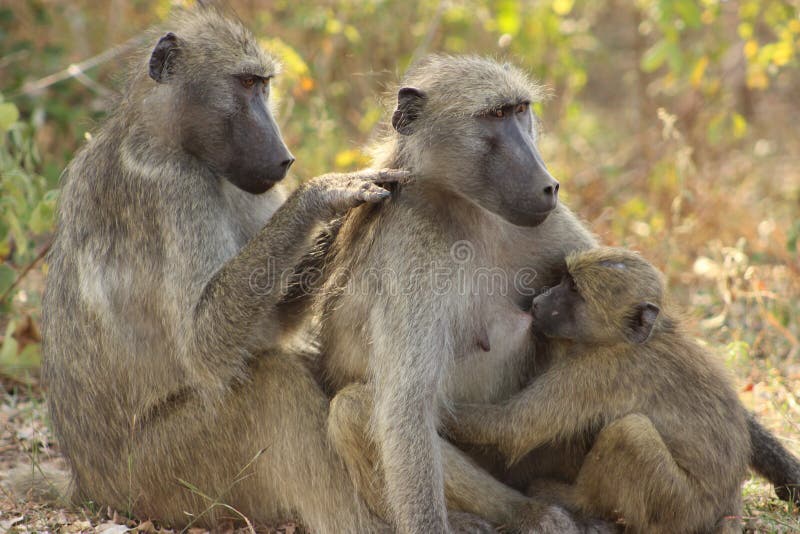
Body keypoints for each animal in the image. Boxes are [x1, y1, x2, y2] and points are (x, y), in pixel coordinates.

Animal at [38, 6, 416, 532]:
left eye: (264, 85)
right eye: (246, 83)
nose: (284, 157)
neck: (161, 132)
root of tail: (87, 485)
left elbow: (269, 322)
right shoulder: (173, 187)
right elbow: (205, 345)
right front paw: (326, 192)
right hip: (167, 477)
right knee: (273, 388)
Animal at [446, 246, 760, 533]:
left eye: (574, 289)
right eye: (565, 279)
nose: (538, 302)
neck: (632, 340)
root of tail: (726, 506)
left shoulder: (597, 372)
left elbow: (512, 428)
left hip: (679, 509)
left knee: (630, 433)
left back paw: (571, 498)